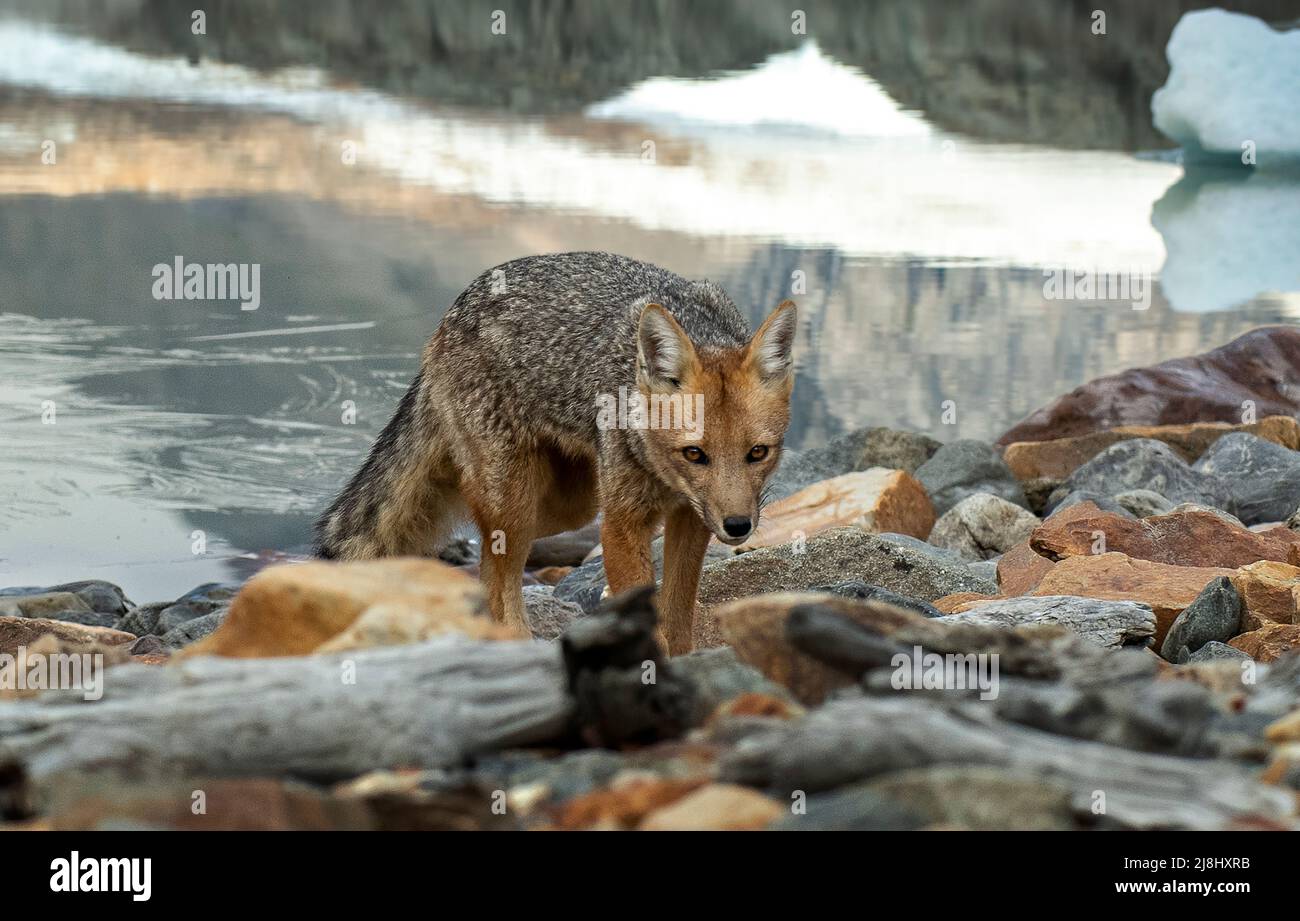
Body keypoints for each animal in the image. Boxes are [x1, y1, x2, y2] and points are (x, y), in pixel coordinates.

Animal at [315, 252, 796, 655]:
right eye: (694, 454)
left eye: (758, 453)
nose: (738, 527)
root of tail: (453, 312)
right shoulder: (622, 523)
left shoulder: (691, 519)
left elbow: (677, 617)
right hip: (518, 501)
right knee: (498, 576)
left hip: (567, 506)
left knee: (488, 559)